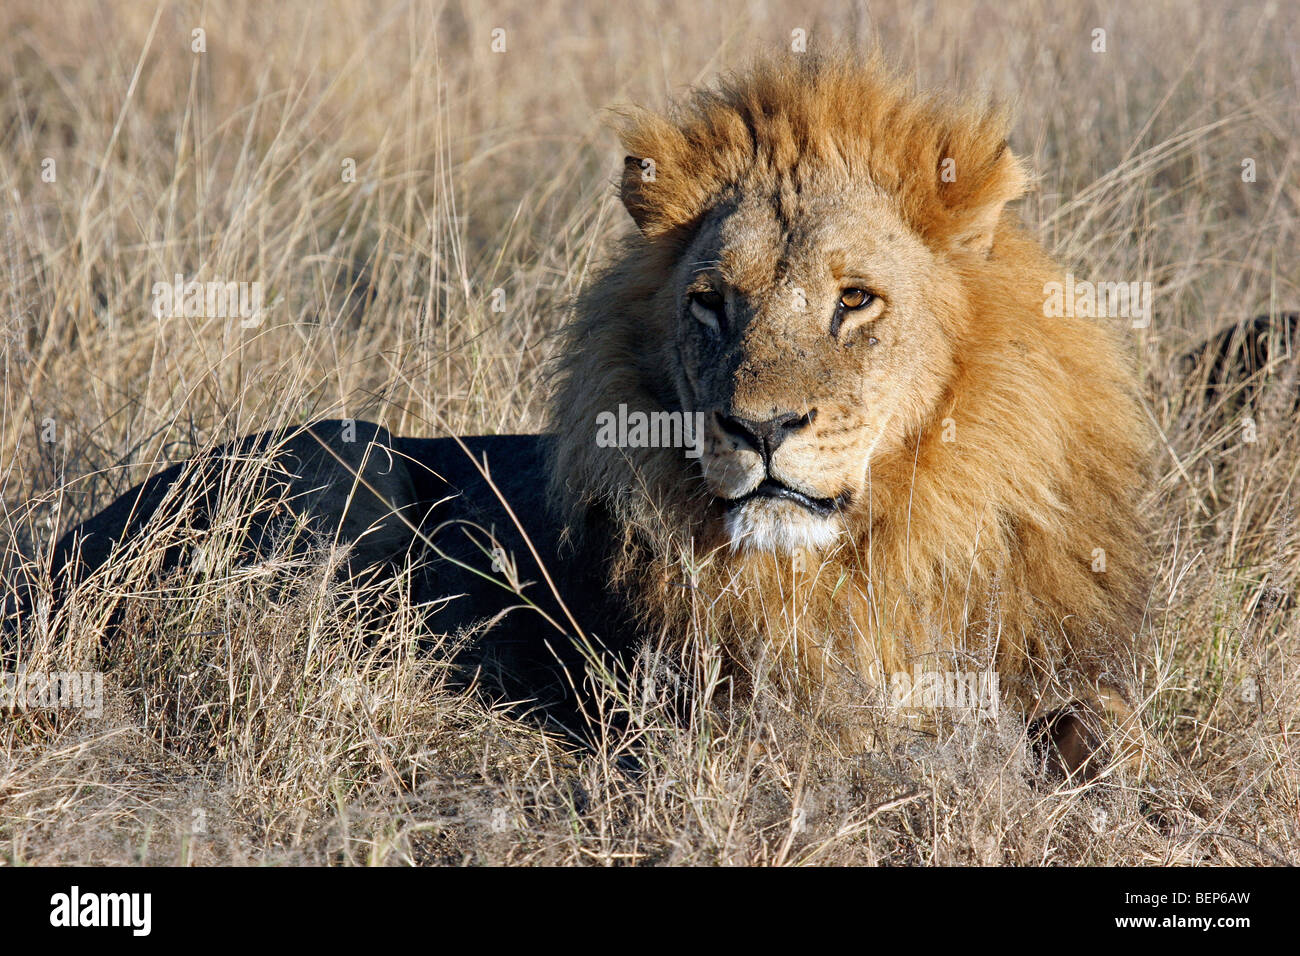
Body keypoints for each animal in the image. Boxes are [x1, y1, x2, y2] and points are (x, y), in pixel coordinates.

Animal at [12, 55, 1153, 778]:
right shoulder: (731, 711)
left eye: (855, 300)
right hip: (340, 454)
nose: (759, 429)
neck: (897, 530)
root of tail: (52, 554)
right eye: (711, 302)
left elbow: (1107, 737)